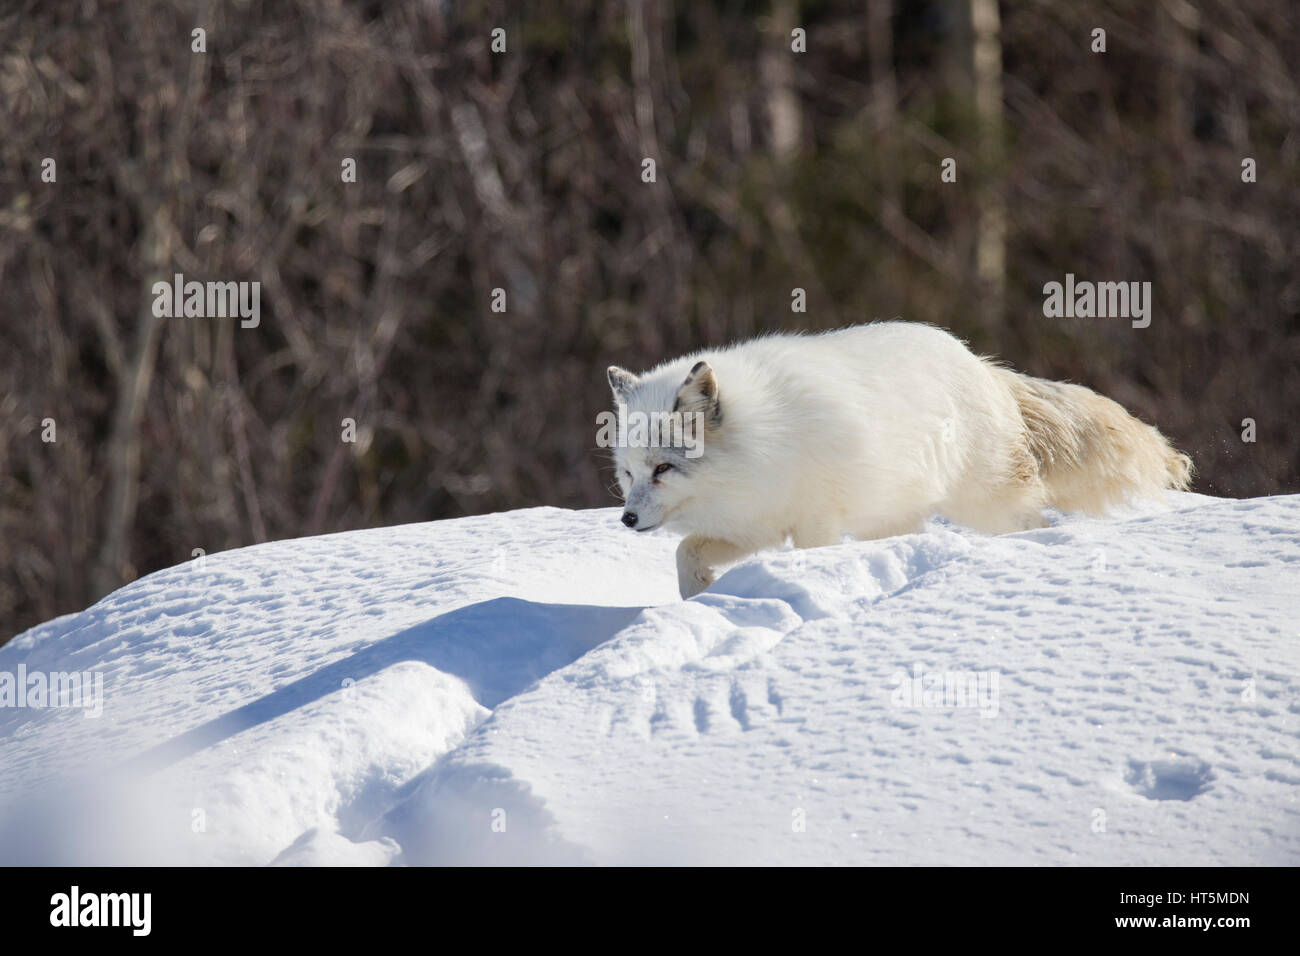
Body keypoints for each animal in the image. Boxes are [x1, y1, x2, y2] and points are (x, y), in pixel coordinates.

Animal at [606, 322, 1193, 599]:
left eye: (663, 469)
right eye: (630, 473)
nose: (627, 519)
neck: (762, 439)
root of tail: (980, 363)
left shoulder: (814, 521)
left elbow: (812, 556)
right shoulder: (755, 523)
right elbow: (684, 552)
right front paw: (700, 598)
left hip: (986, 503)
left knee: (1033, 524)